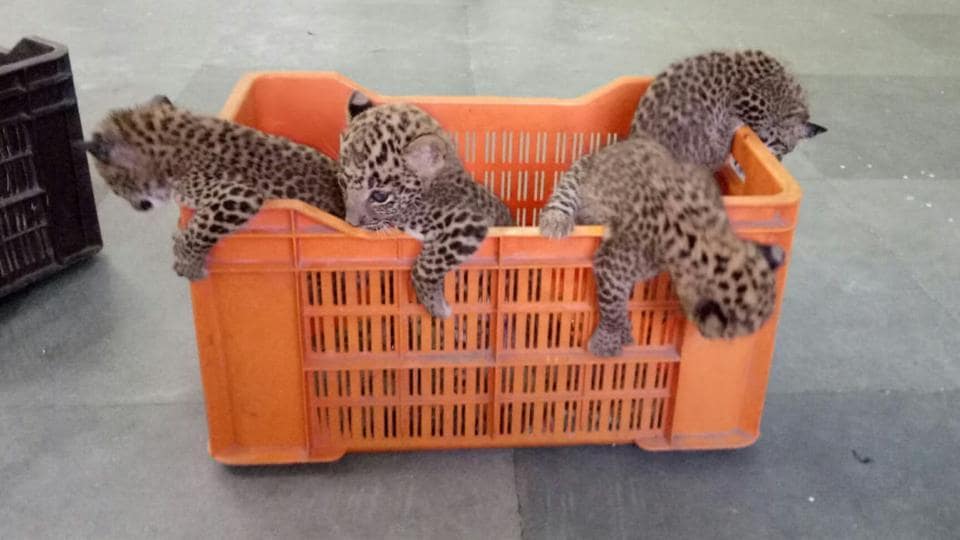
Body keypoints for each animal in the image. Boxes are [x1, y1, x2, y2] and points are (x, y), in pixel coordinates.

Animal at [339, 91, 513, 319]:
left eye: (379, 196)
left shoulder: (467, 223)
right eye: (343, 183)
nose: (351, 223)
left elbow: (425, 265)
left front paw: (437, 307)